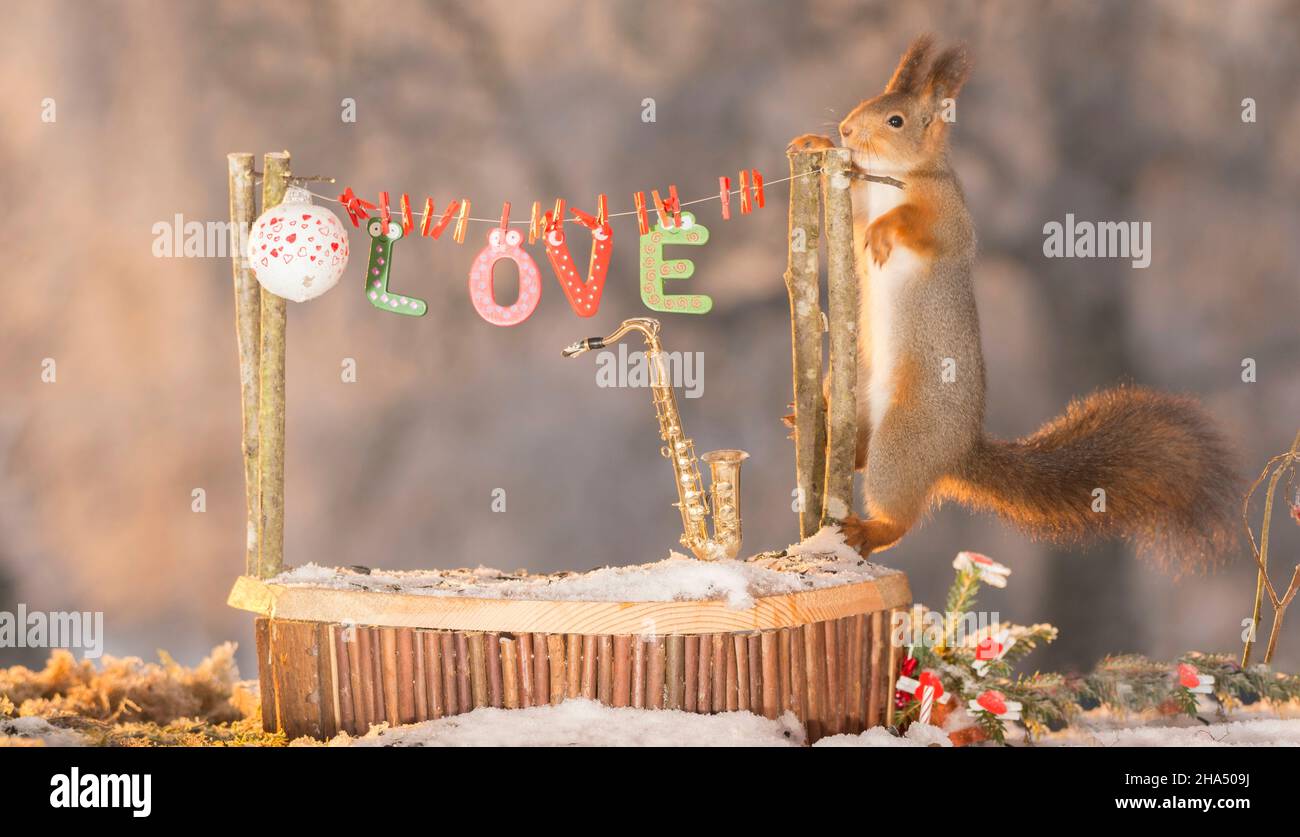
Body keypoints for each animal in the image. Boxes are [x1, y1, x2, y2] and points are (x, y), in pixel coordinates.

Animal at [787, 35, 1238, 570]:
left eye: (895, 120)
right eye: (866, 101)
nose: (845, 129)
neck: (897, 175)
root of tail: (957, 452)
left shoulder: (949, 215)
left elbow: (924, 230)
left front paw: (883, 230)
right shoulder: (857, 200)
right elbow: (854, 205)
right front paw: (816, 146)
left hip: (907, 437)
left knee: (896, 508)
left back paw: (868, 530)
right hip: (850, 391)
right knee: (856, 455)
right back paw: (814, 427)